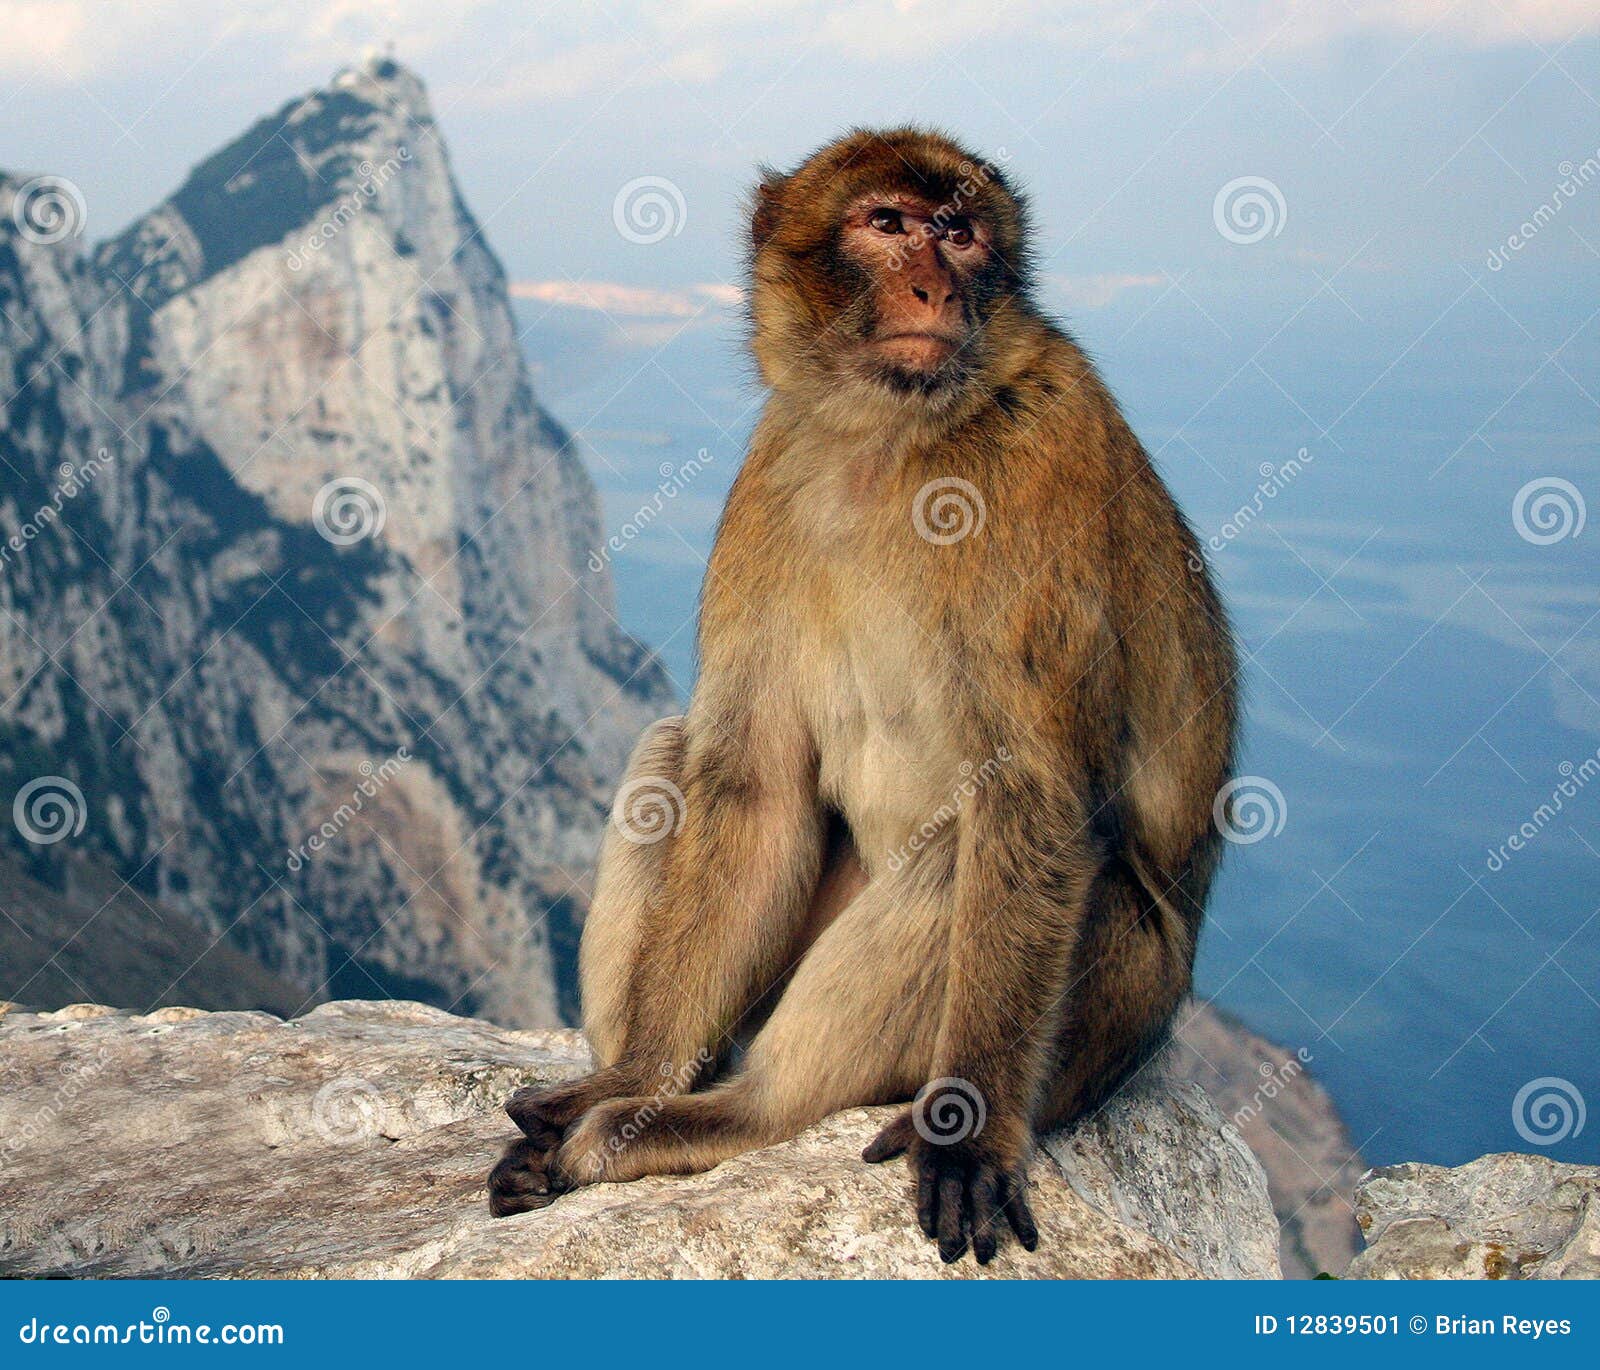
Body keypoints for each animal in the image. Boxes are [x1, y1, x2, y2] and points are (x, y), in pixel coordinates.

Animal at [488, 127, 1238, 1266]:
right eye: (887, 224)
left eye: (961, 232)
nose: (936, 285)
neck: (890, 438)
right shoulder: (776, 466)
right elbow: (751, 782)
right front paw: (643, 1075)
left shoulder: (1040, 458)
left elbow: (1028, 796)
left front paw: (967, 1135)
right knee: (675, 751)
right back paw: (627, 1092)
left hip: (1111, 1008)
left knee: (975, 845)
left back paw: (732, 1115)